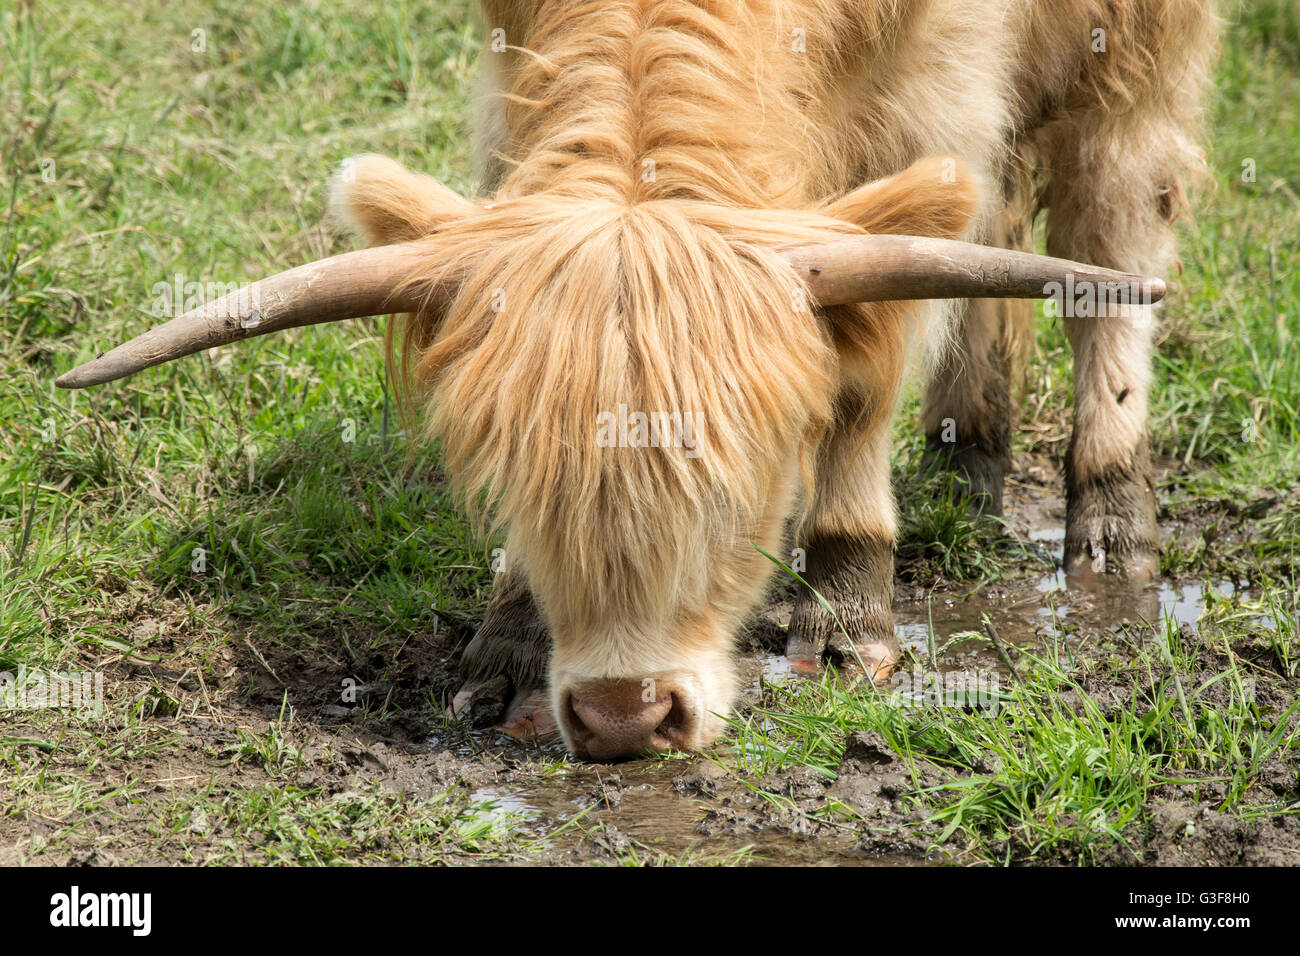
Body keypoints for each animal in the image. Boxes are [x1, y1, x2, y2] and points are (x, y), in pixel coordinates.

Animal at [57, 0, 1217, 760]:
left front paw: (847, 606)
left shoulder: (933, 98)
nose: (625, 716)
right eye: (514, 485)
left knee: (1111, 224)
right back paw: (966, 456)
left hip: (1136, 56)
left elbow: (866, 365)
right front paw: (512, 635)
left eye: (748, 500)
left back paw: (1110, 522)